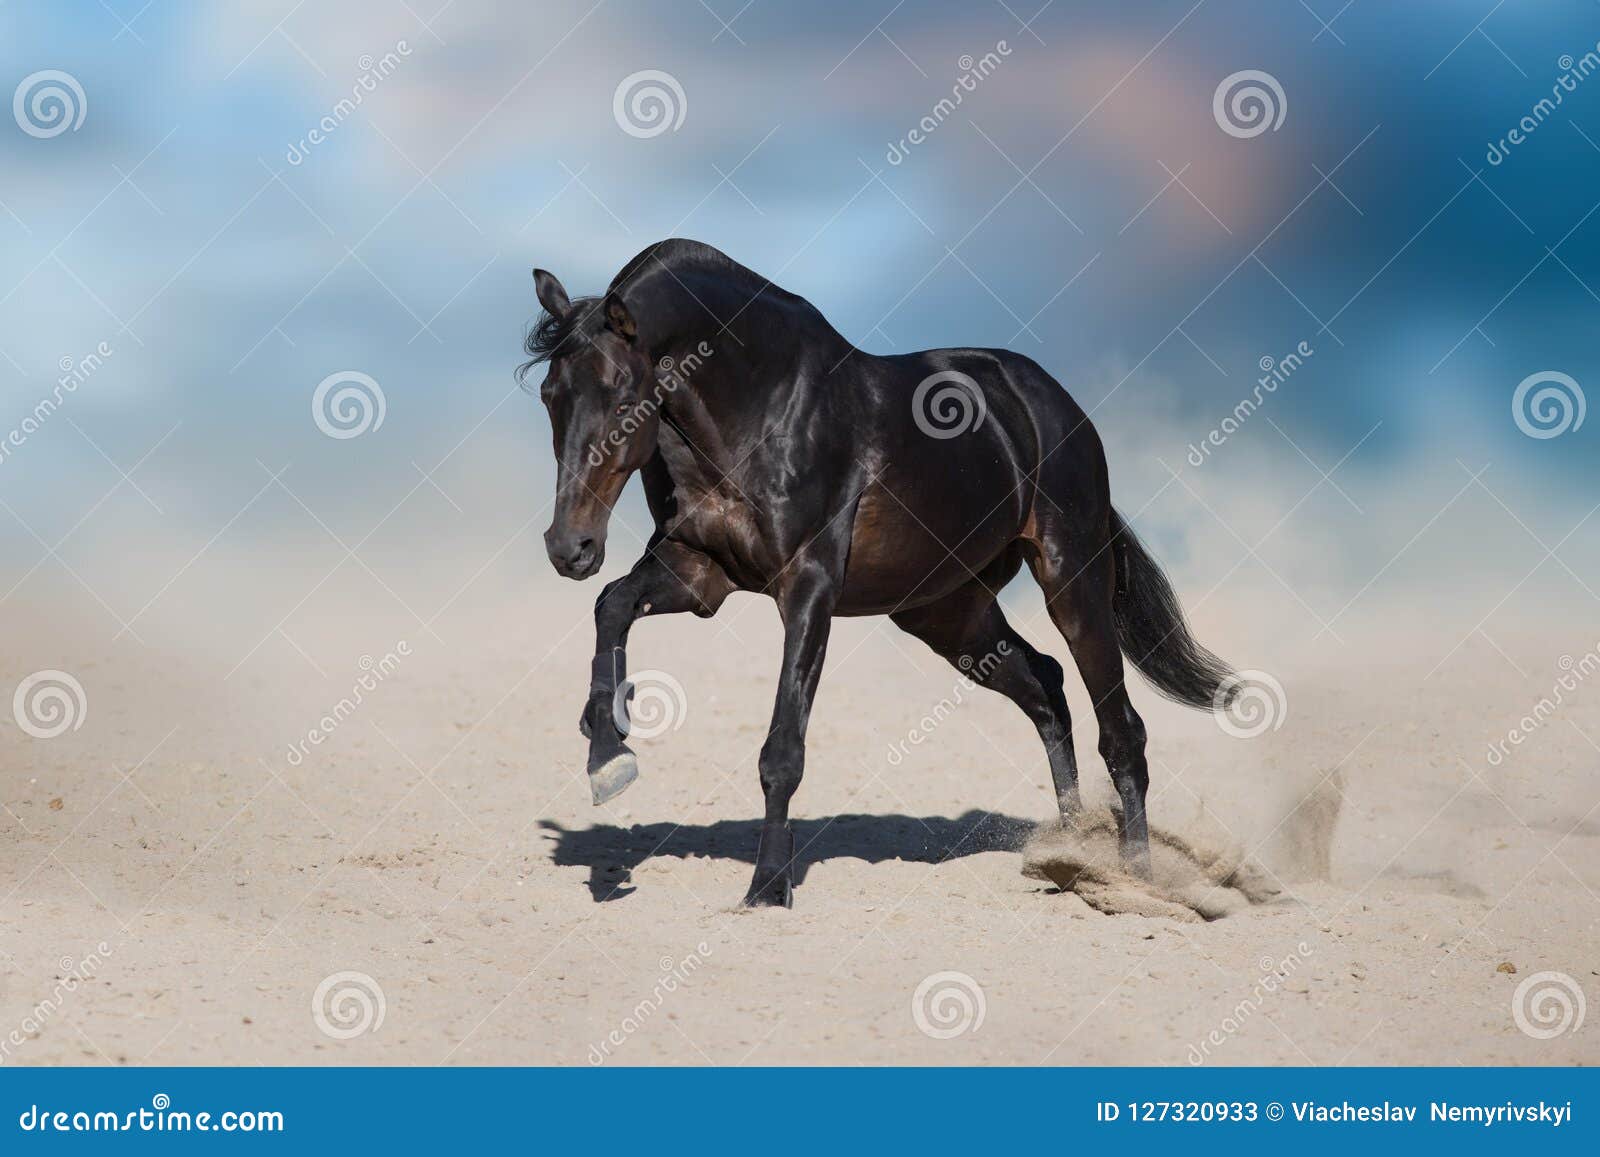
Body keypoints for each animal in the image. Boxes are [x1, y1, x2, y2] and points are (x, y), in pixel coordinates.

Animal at [521, 239, 1236, 908]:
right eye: (550, 396)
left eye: (624, 401)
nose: (569, 547)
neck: (758, 404)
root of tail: (1062, 411)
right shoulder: (699, 572)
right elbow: (612, 605)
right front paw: (608, 753)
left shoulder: (809, 584)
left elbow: (783, 750)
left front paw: (767, 889)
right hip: (946, 613)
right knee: (1045, 688)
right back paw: (1069, 854)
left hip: (1071, 582)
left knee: (1121, 731)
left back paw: (1133, 879)